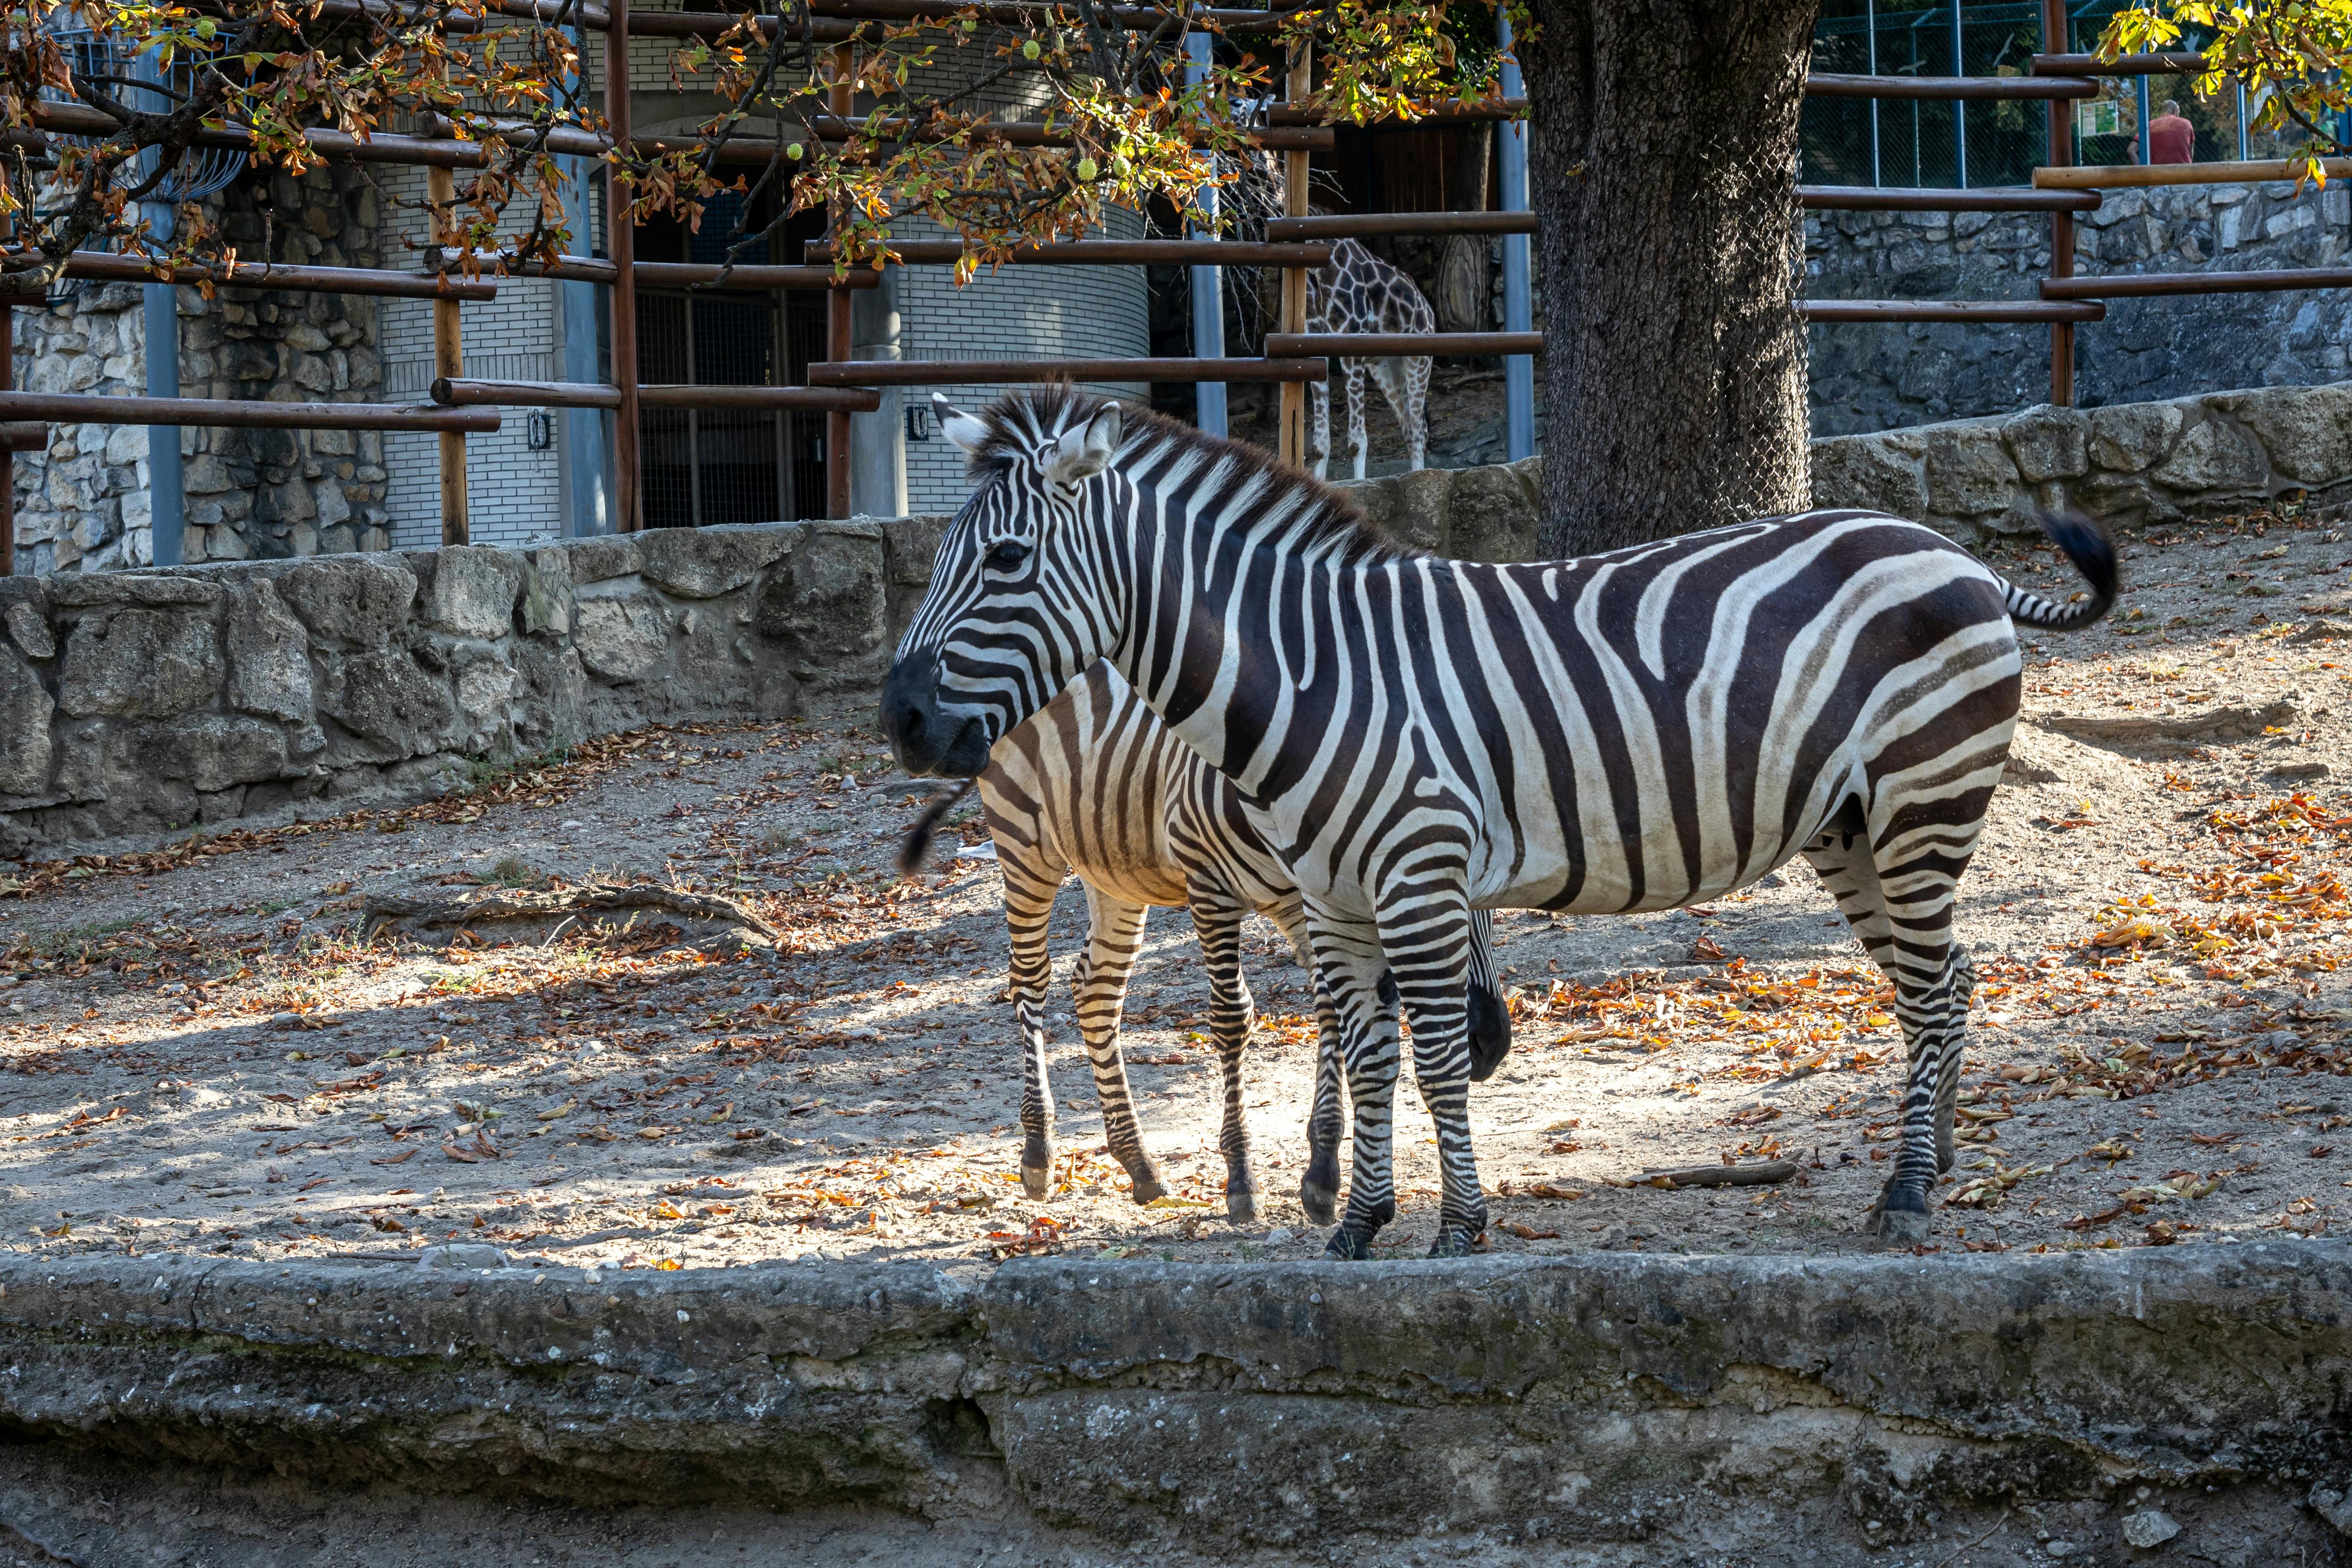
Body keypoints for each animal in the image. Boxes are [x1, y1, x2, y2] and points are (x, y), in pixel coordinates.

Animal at [901, 659, 1509, 1224]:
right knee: (1029, 979)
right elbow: (1233, 1017)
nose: (1490, 1044)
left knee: (1095, 990)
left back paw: (1139, 1162)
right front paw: (1241, 1177)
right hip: (1023, 837)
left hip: (1112, 860)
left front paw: (1321, 1172)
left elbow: (1331, 1009)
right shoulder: (1208, 883)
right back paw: (1038, 1151)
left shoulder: (1310, 901)